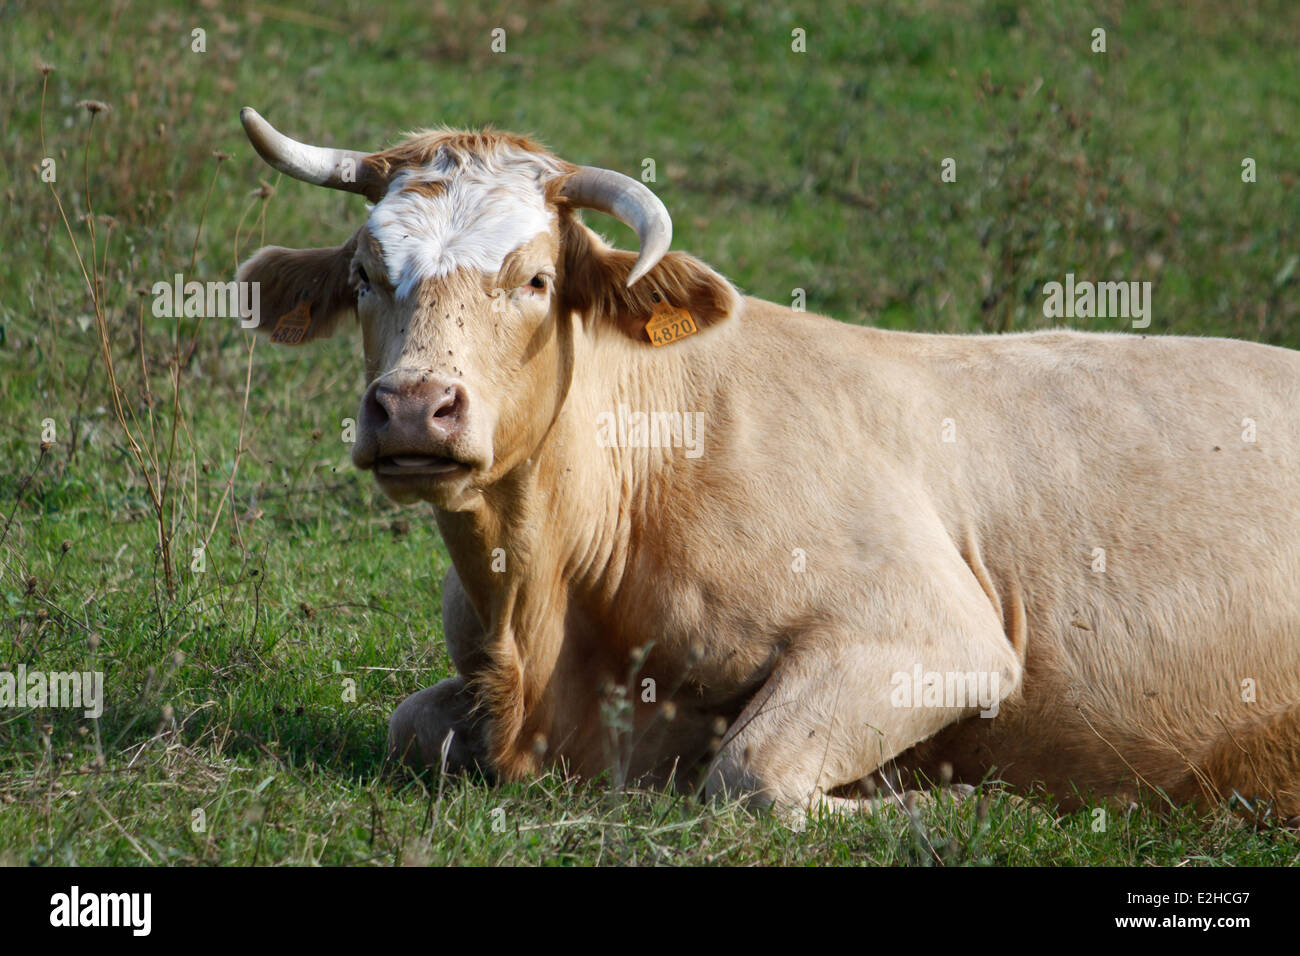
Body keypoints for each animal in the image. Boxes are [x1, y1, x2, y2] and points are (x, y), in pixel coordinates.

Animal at [235, 107, 1300, 822]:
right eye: (365, 274)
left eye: (535, 279)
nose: (413, 406)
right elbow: (410, 723)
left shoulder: (932, 632)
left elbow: (750, 775)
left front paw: (937, 804)